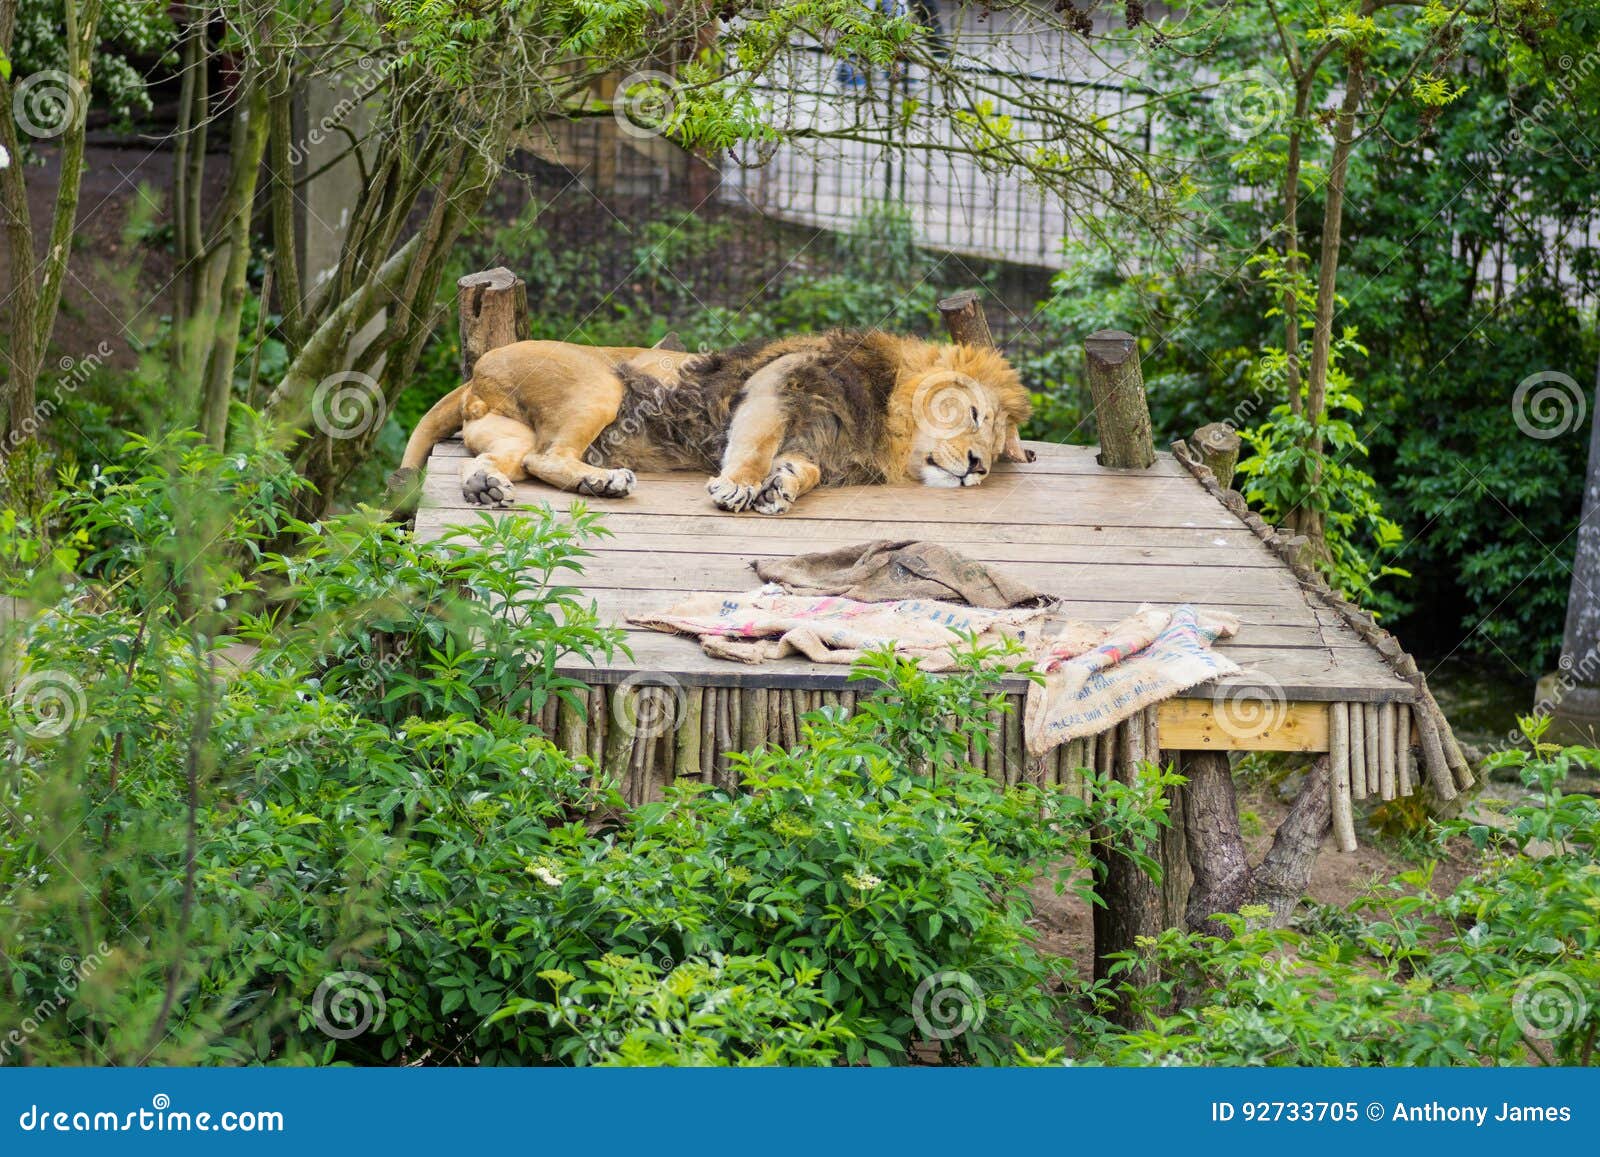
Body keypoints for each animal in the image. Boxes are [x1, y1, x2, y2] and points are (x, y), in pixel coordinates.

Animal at [396, 329, 1033, 516]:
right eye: (974, 413)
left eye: (994, 444)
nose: (978, 466)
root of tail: (478, 371)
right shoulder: (780, 381)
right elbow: (753, 442)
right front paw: (741, 487)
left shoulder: (817, 445)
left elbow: (803, 470)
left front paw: (782, 488)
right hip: (600, 386)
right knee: (543, 455)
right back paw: (602, 480)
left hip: (500, 427)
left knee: (510, 458)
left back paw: (490, 485)